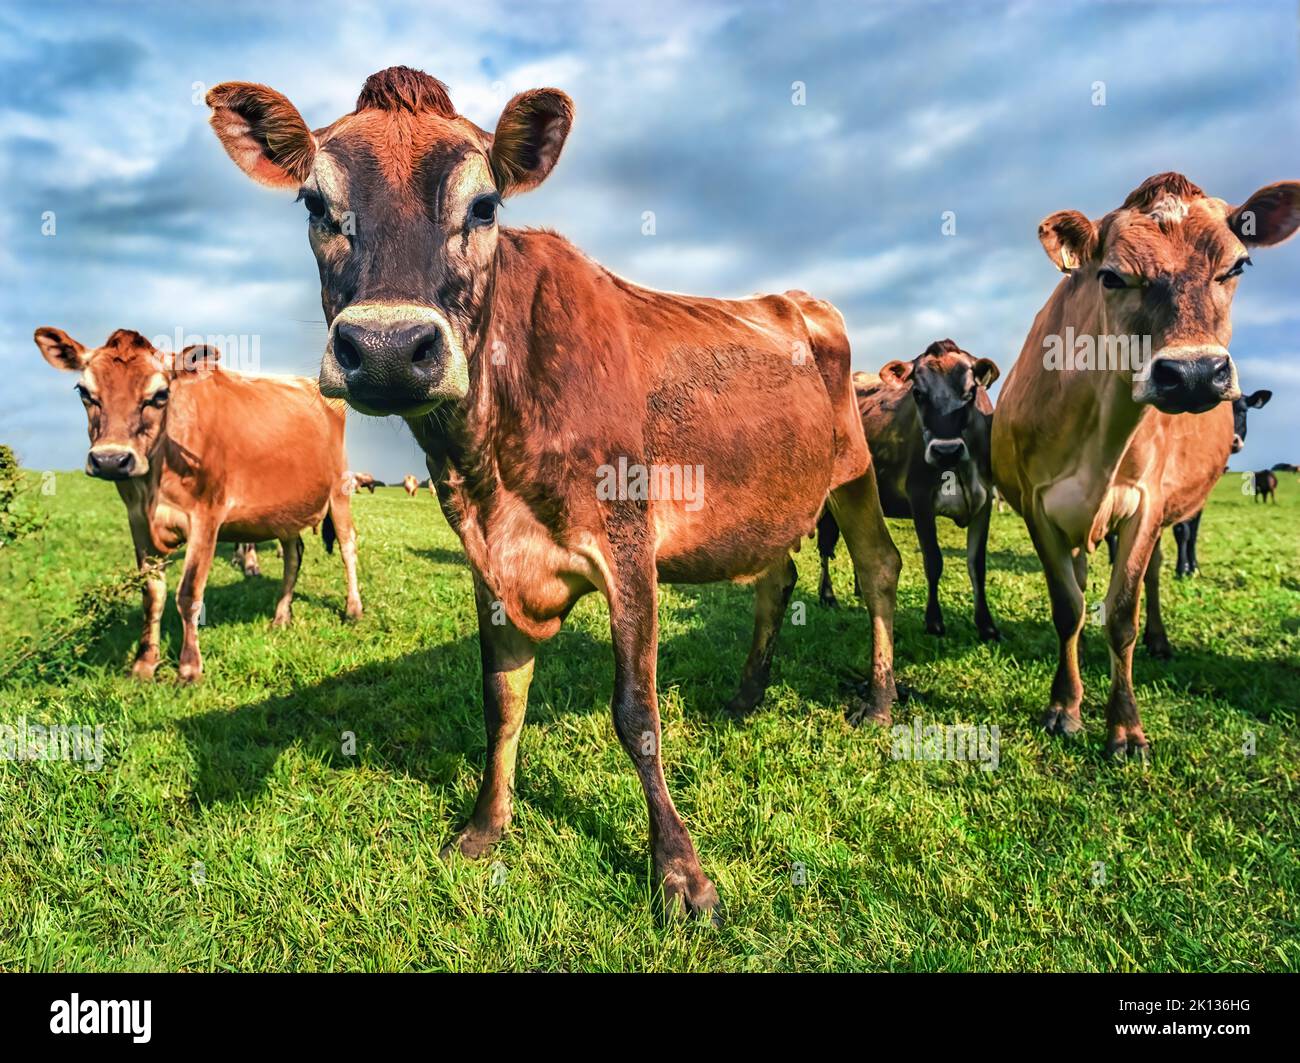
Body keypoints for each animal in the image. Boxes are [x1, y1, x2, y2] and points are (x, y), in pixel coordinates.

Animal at [35, 327, 364, 681]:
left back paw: (353, 609)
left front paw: (190, 667)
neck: (154, 484)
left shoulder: (205, 517)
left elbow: (189, 593)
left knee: (347, 546)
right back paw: (281, 616)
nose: (111, 459)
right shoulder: (138, 522)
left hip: (339, 488)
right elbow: (152, 594)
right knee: (293, 554)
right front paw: (144, 664)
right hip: (284, 509)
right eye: (84, 391)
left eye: (160, 395)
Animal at [207, 65, 902, 920]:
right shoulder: (490, 558)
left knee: (877, 567)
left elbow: (635, 712)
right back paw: (747, 693)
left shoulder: (629, 545)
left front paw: (680, 869)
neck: (492, 469)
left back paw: (878, 700)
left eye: (484, 205)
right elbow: (501, 698)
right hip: (767, 495)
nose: (388, 348)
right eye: (314, 204)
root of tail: (798, 298)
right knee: (777, 576)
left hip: (854, 471)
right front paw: (485, 825)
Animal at [817, 342, 1001, 642]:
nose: (946, 450)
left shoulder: (984, 501)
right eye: (917, 393)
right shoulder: (920, 498)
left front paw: (987, 626)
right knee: (825, 547)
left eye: (971, 392)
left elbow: (977, 565)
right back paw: (828, 595)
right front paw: (934, 622)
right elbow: (933, 561)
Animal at [992, 171, 1300, 758]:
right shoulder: (1037, 506)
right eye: (1112, 276)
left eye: (1237, 266)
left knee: (1152, 576)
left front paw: (1125, 728)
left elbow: (1121, 615)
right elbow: (1068, 605)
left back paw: (1159, 638)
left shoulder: (1145, 504)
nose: (1195, 373)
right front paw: (1064, 707)